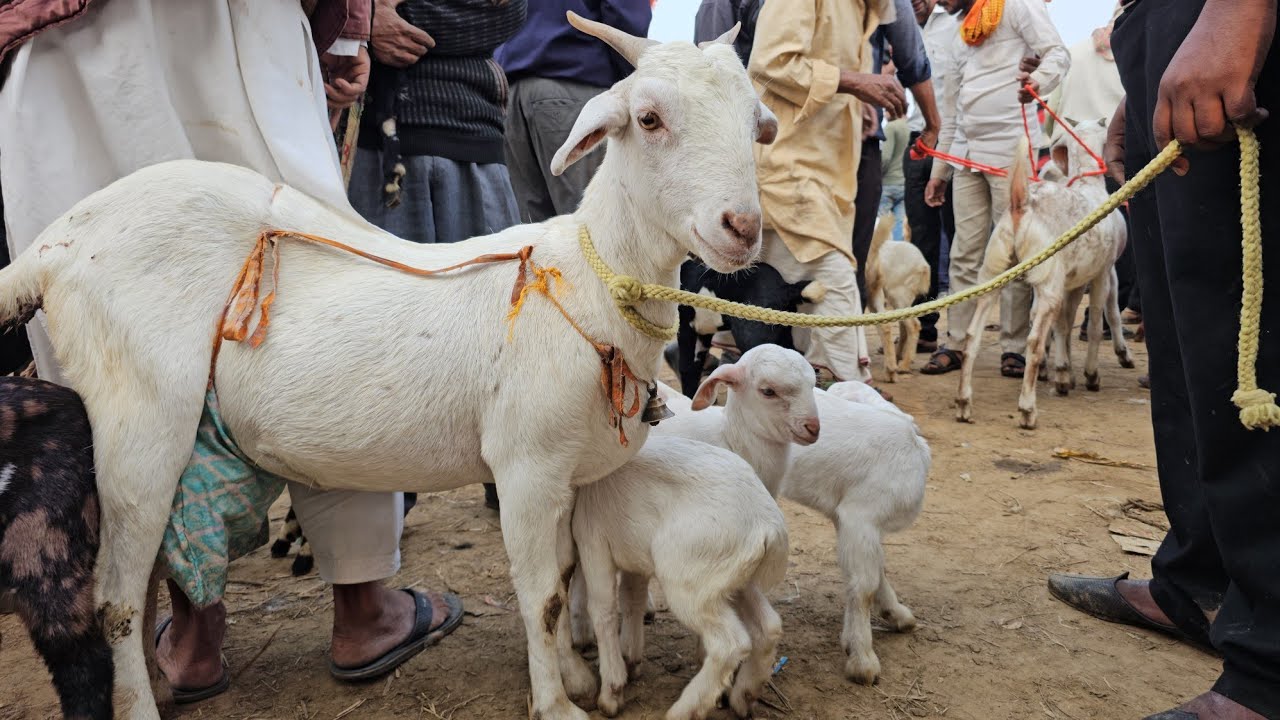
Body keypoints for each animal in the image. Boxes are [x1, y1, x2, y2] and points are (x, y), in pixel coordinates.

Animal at [572, 436, 788, 720]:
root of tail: (768, 524)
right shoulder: (633, 554)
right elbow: (632, 600)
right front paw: (630, 660)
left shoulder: (593, 542)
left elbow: (603, 610)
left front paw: (611, 693)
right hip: (731, 578)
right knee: (769, 626)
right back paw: (744, 696)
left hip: (690, 580)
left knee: (730, 644)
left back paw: (684, 710)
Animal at [656, 350, 928, 685]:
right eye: (768, 390)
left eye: (813, 385)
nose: (813, 427)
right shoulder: (860, 516)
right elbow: (863, 585)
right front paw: (862, 660)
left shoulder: (853, 522)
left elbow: (876, 571)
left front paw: (894, 615)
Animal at [865, 215, 931, 383]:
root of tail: (924, 265)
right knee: (898, 325)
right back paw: (896, 362)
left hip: (898, 295)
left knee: (913, 325)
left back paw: (903, 366)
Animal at [956, 121, 1135, 429]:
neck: (1089, 188)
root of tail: (1022, 203)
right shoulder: (1102, 272)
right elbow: (1098, 322)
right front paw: (1089, 375)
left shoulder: (1072, 281)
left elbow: (1065, 324)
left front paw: (1065, 374)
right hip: (1048, 281)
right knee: (1034, 342)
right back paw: (1028, 409)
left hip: (995, 274)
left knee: (972, 336)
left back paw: (965, 404)